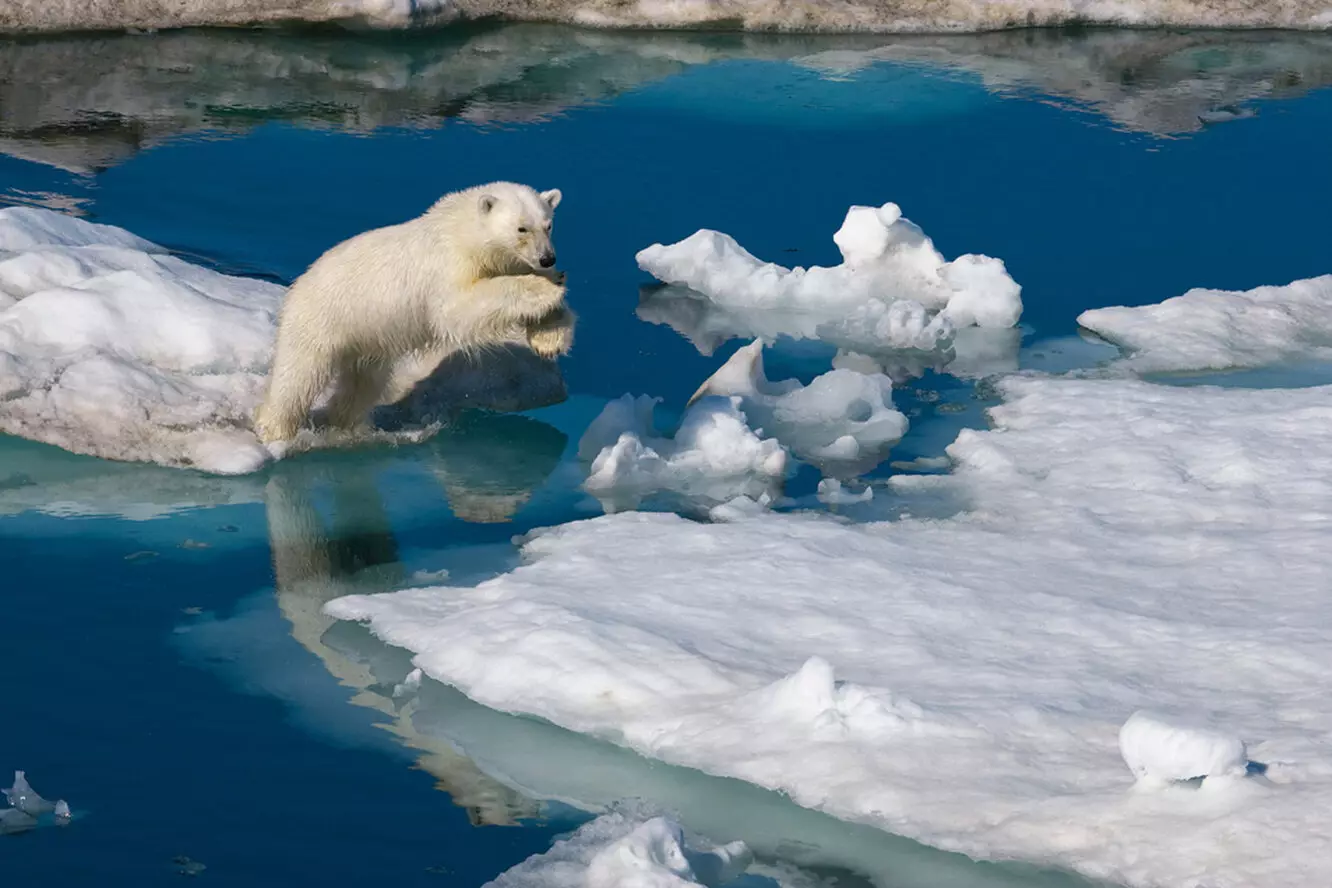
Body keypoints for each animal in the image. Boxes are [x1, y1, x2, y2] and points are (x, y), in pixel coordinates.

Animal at [254, 182, 572, 444]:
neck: (461, 230)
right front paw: (546, 288)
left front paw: (550, 338)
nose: (548, 257)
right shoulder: (448, 264)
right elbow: (459, 308)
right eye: (522, 228)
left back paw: (344, 424)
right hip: (320, 319)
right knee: (297, 376)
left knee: (363, 383)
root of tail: (297, 285)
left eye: (548, 225)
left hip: (367, 339)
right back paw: (274, 430)